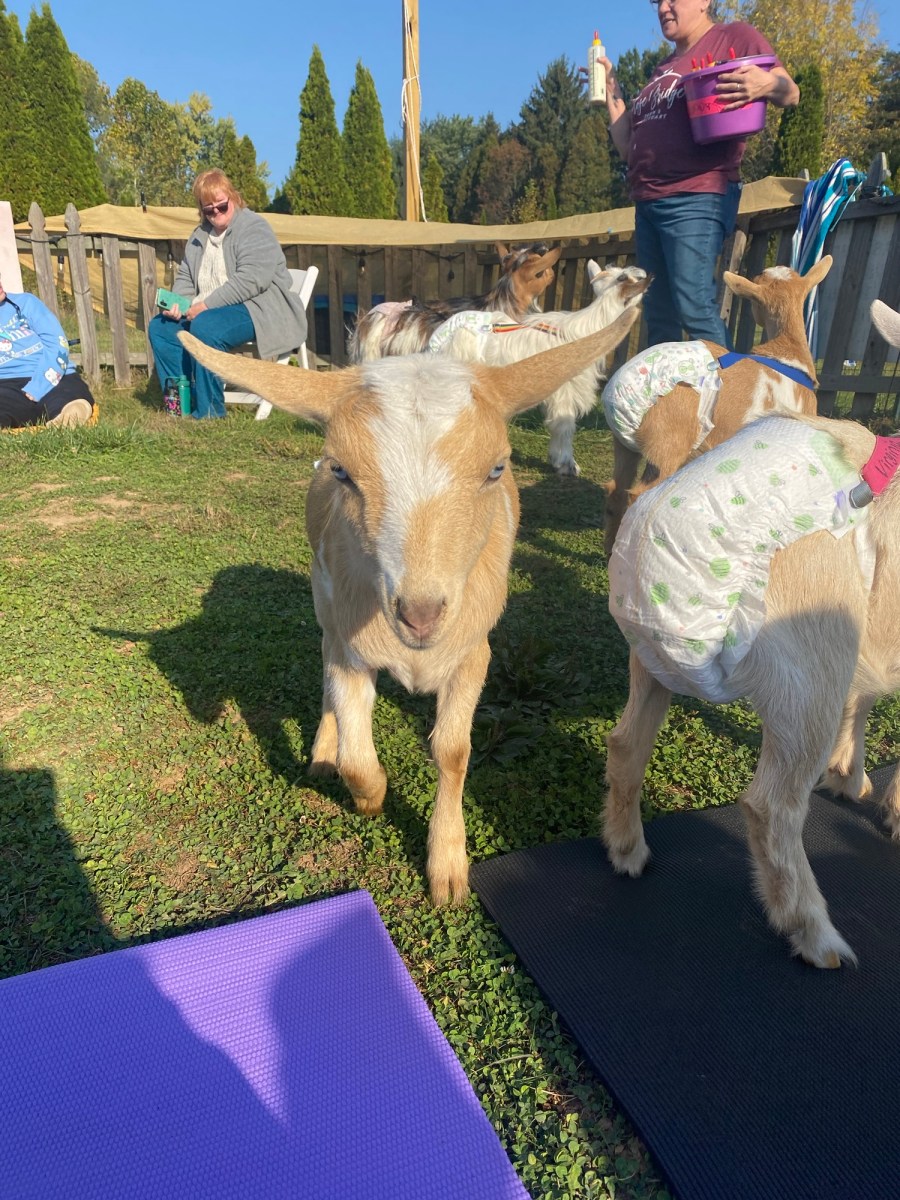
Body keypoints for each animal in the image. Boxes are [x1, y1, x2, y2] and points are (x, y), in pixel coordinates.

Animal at [178, 308, 640, 904]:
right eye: (341, 471)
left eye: (497, 469)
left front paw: (447, 868)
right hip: (326, 607)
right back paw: (322, 751)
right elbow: (356, 753)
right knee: (324, 668)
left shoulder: (473, 651)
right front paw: (370, 799)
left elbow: (453, 751)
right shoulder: (353, 648)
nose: (420, 616)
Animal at [427, 261, 650, 476]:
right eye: (624, 278)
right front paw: (567, 465)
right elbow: (564, 426)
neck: (591, 328)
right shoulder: (564, 390)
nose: (645, 277)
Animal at [603, 256, 833, 554]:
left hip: (626, 446)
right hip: (667, 446)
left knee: (616, 492)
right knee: (637, 497)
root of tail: (618, 394)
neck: (786, 354)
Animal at [603, 408, 900, 968]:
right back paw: (817, 936)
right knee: (770, 807)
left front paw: (849, 781)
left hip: (652, 662)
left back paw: (627, 852)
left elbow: (863, 703)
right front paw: (890, 810)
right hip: (813, 673)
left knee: (626, 743)